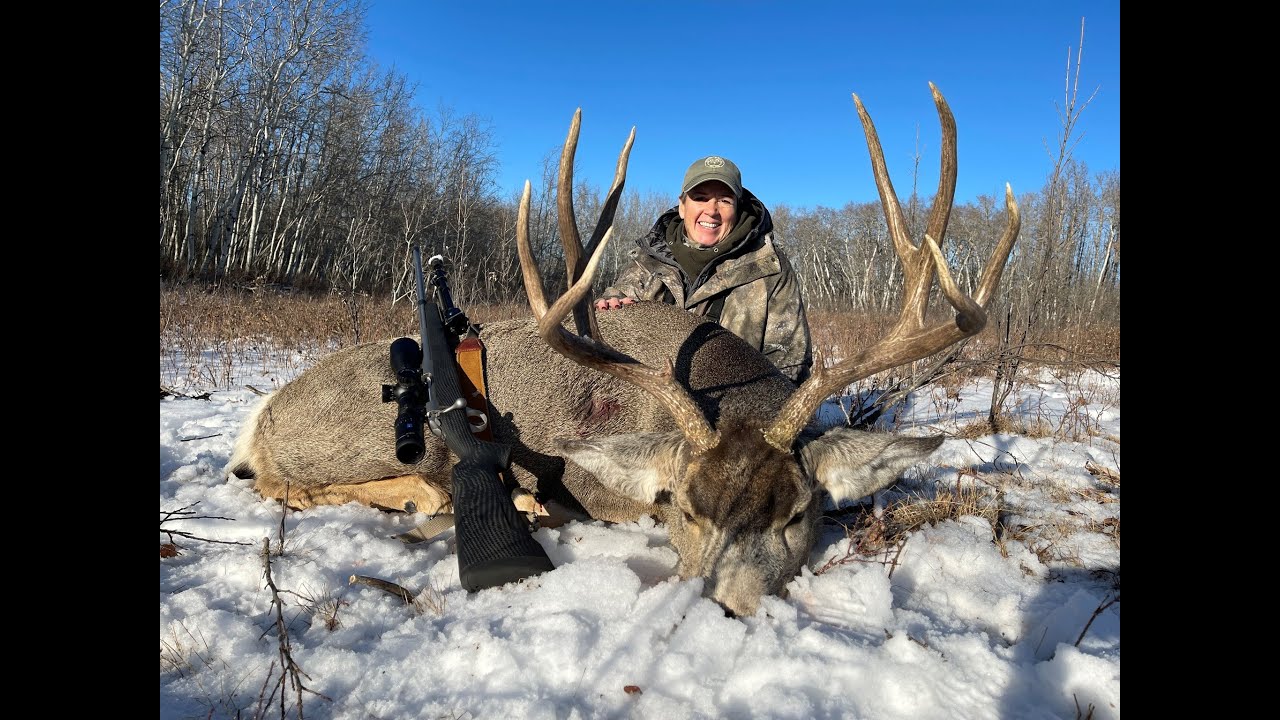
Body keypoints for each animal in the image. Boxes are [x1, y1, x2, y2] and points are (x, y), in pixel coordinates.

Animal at [228, 83, 1020, 617]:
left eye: (797, 514)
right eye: (684, 509)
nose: (722, 606)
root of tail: (257, 420)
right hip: (367, 435)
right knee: (292, 484)